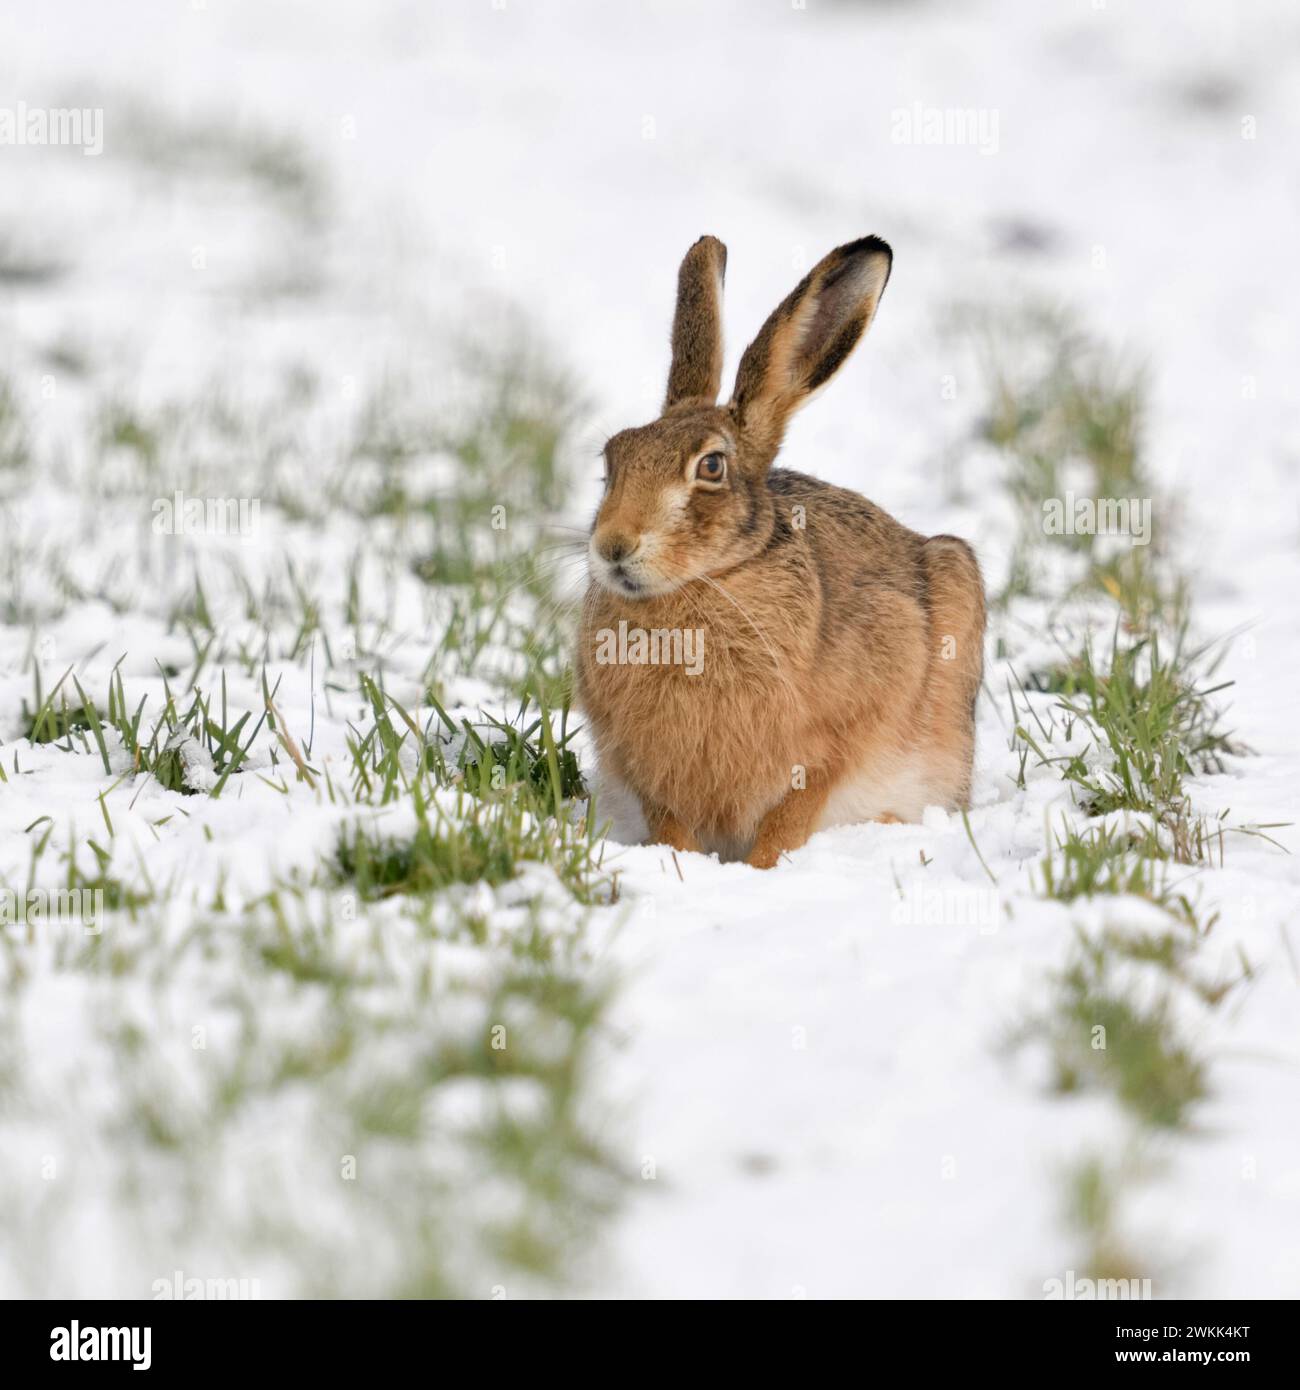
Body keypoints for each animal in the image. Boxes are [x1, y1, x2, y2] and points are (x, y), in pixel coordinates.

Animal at [576, 235, 985, 868]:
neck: (710, 582)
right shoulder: (643, 769)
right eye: (612, 460)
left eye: (711, 467)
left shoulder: (838, 740)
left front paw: (764, 867)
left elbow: (798, 807)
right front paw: (681, 863)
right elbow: (667, 818)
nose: (614, 545)